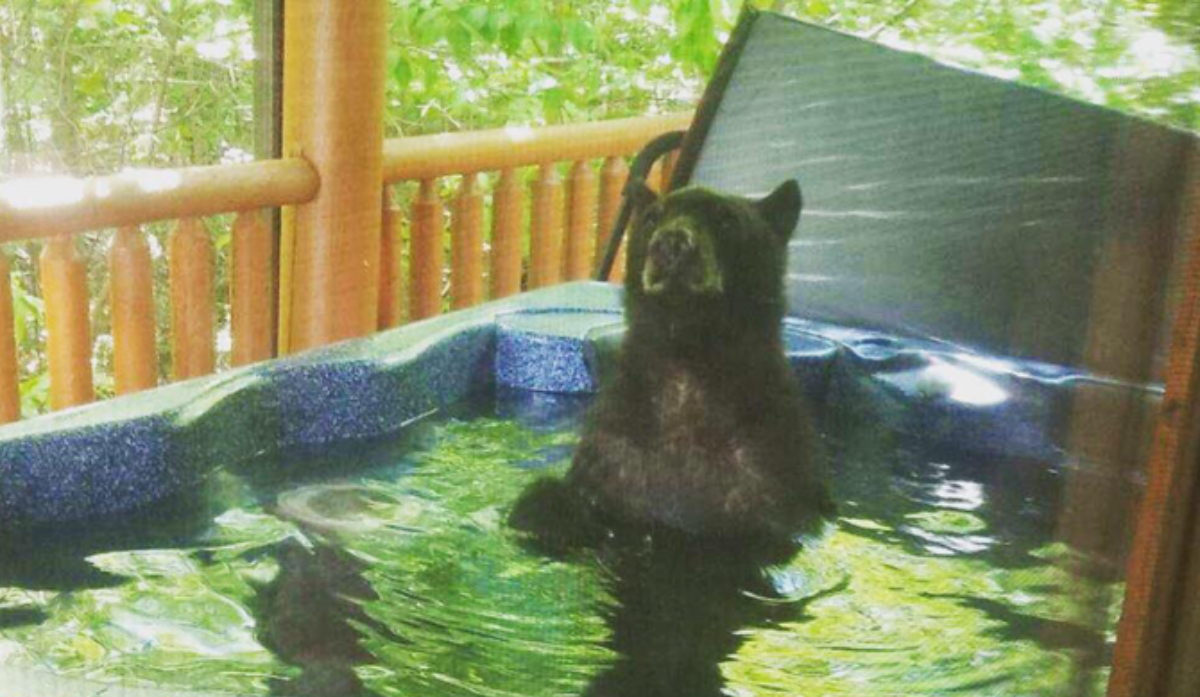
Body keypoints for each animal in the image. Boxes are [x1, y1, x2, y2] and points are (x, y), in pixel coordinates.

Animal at [509, 179, 834, 555]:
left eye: (727, 219)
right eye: (652, 217)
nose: (671, 242)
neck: (687, 361)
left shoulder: (767, 474)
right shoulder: (614, 458)